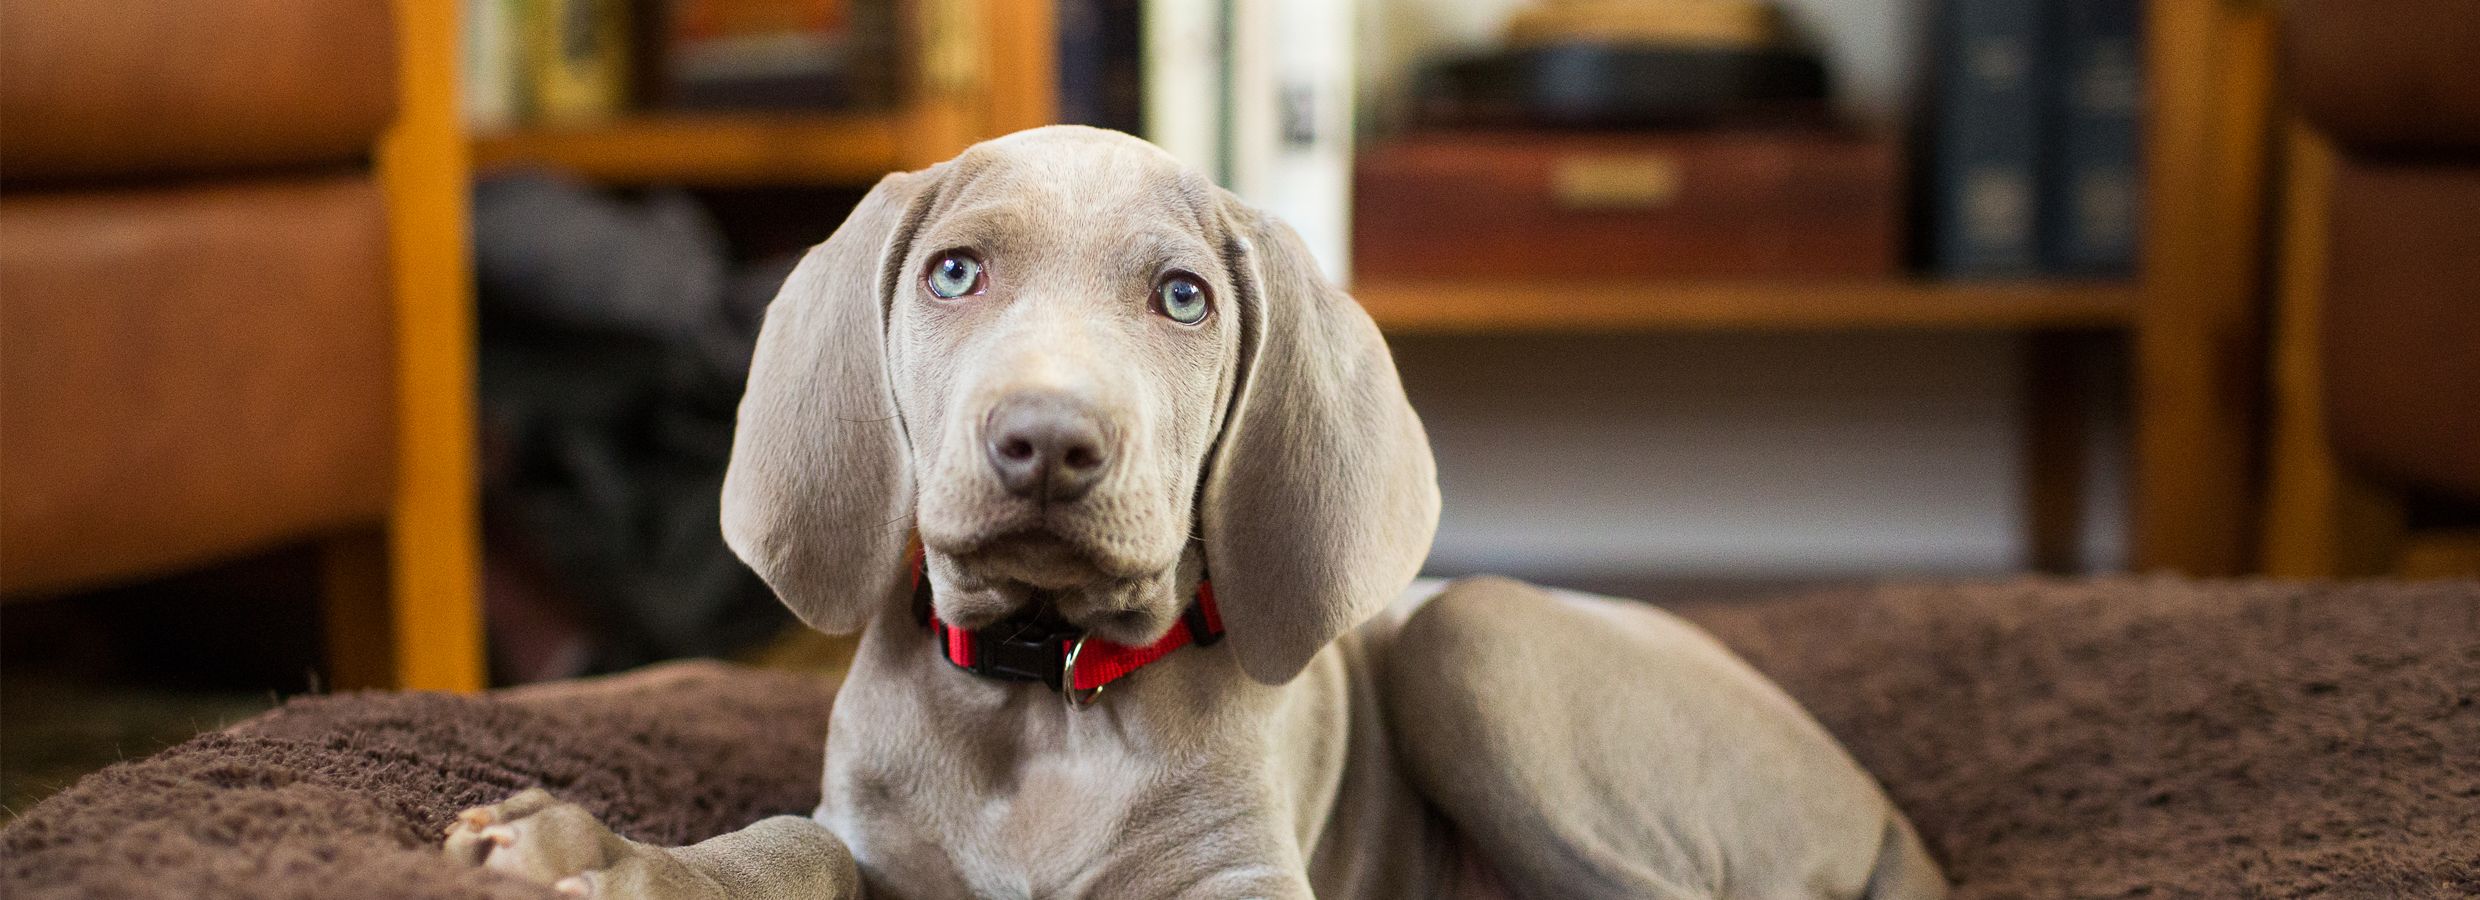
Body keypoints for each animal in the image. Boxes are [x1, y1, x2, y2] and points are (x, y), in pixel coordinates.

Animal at [456, 127, 1944, 900]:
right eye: (954, 272)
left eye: (1182, 296)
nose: (1047, 442)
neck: (1044, 692)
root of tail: (1880, 806)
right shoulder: (875, 842)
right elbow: (784, 847)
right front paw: (593, 851)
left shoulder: (1239, 882)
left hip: (1473, 636)